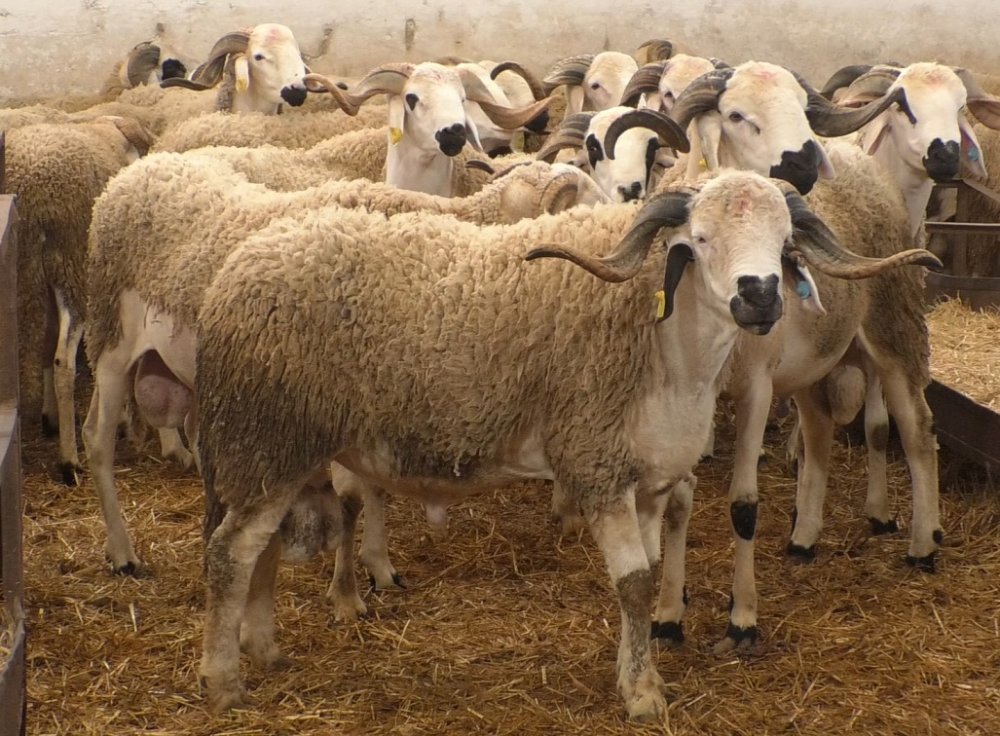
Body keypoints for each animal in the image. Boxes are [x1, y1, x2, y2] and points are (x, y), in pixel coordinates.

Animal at [83, 151, 607, 575]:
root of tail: (134, 171)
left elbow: (372, 489)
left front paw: (374, 564)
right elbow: (357, 494)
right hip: (109, 340)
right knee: (98, 438)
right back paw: (122, 552)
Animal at [192, 168, 906, 718]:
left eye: (785, 244)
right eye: (699, 240)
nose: (759, 297)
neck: (666, 343)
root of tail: (234, 272)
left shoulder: (647, 481)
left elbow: (647, 579)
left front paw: (637, 668)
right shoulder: (596, 463)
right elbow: (634, 584)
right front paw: (644, 695)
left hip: (275, 448)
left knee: (258, 548)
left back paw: (264, 649)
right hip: (268, 436)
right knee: (230, 554)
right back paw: (224, 682)